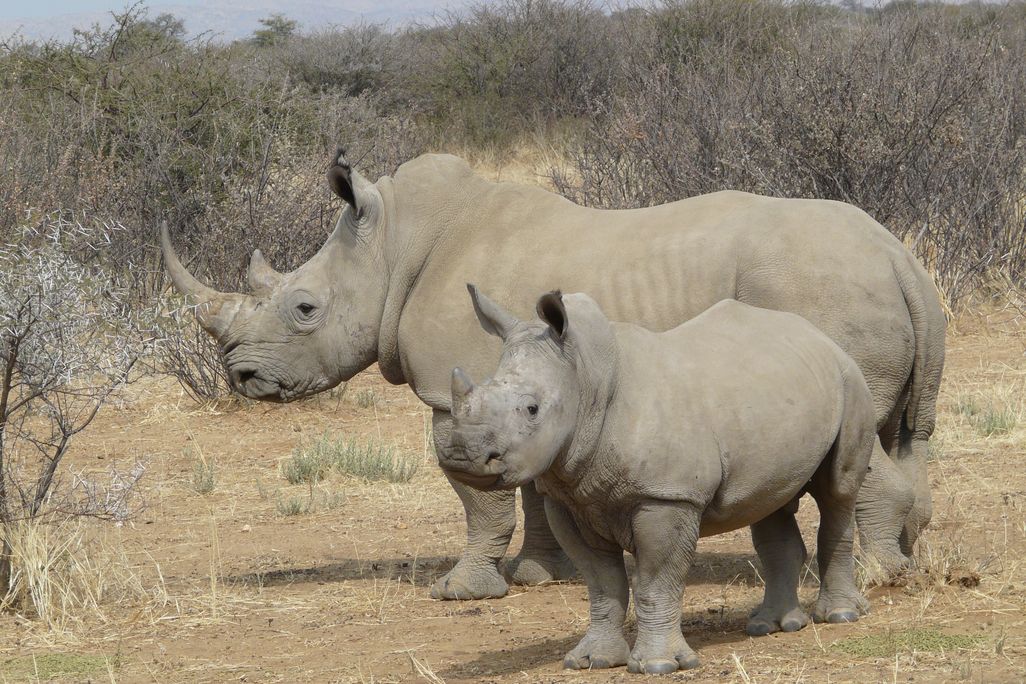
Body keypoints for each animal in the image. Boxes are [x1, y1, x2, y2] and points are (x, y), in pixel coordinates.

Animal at [160, 150, 945, 600]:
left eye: (304, 308)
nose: (242, 374)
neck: (392, 247)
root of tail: (899, 256)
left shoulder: (456, 394)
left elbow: (480, 497)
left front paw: (462, 591)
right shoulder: (521, 391)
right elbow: (532, 487)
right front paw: (540, 574)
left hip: (819, 292)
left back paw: (876, 578)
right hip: (866, 291)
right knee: (903, 434)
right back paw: (901, 557)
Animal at [441, 286, 875, 673]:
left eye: (531, 409)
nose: (461, 453)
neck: (587, 379)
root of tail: (820, 336)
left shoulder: (667, 496)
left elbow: (656, 581)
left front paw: (658, 665)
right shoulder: (570, 499)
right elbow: (602, 584)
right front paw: (592, 660)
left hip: (851, 380)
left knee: (838, 492)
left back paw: (839, 615)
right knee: (770, 501)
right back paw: (770, 625)